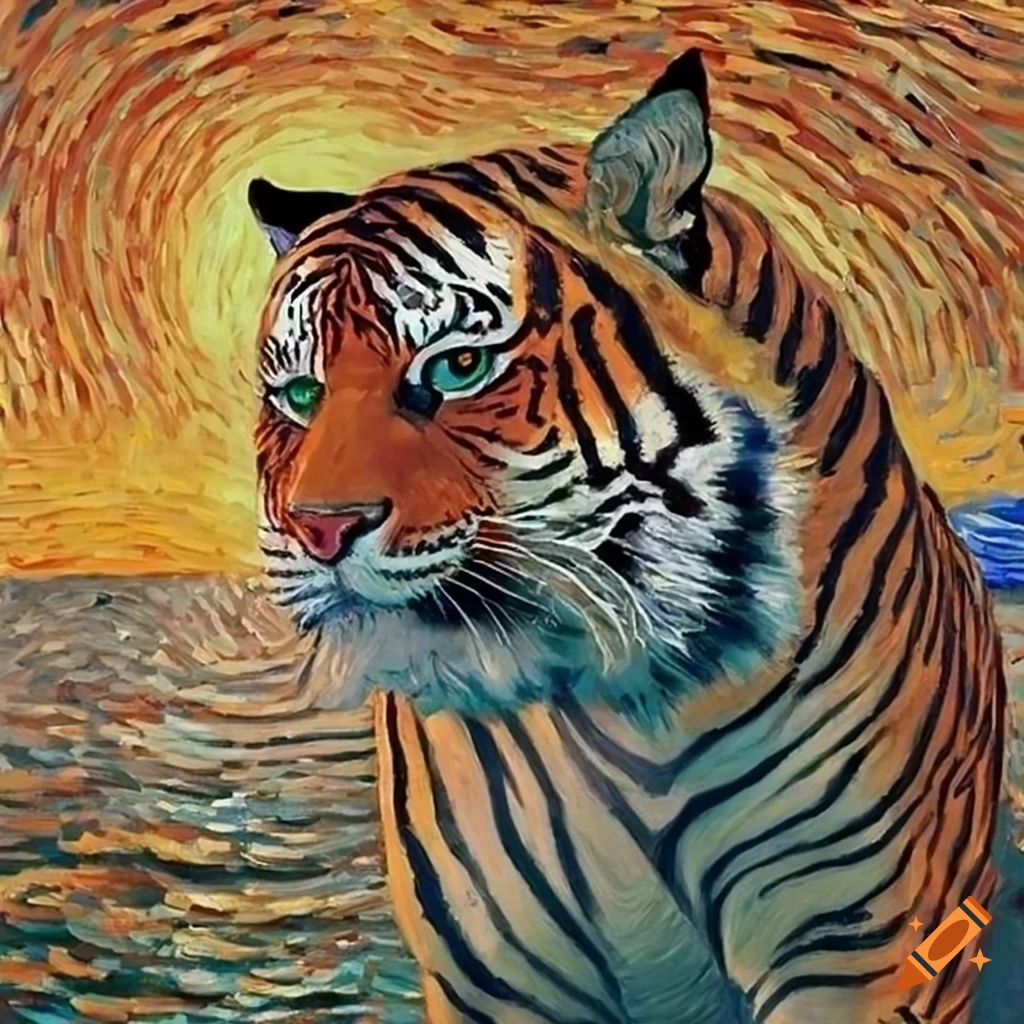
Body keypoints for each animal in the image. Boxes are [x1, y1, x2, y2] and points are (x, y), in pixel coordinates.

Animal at [248, 49, 1005, 1024]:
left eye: (458, 368)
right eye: (299, 395)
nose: (319, 527)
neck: (628, 705)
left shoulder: (866, 955)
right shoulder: (498, 976)